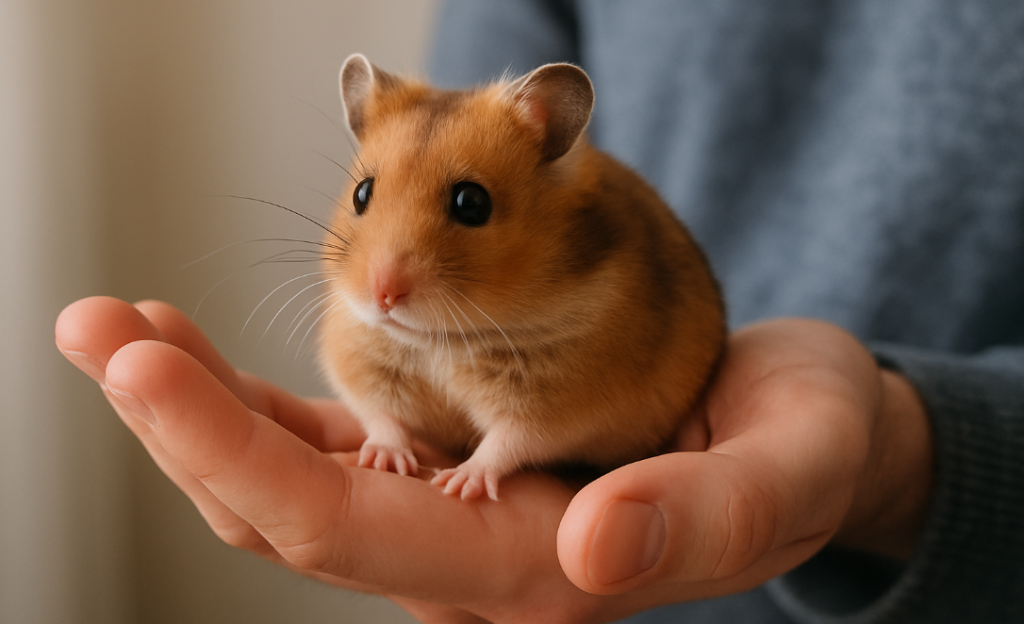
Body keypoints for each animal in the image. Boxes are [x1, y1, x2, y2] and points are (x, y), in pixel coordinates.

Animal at [318, 54, 726, 501]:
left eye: (471, 203)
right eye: (361, 192)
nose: (383, 295)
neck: (441, 342)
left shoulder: (558, 403)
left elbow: (509, 440)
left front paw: (459, 483)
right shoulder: (358, 362)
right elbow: (380, 415)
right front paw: (384, 460)